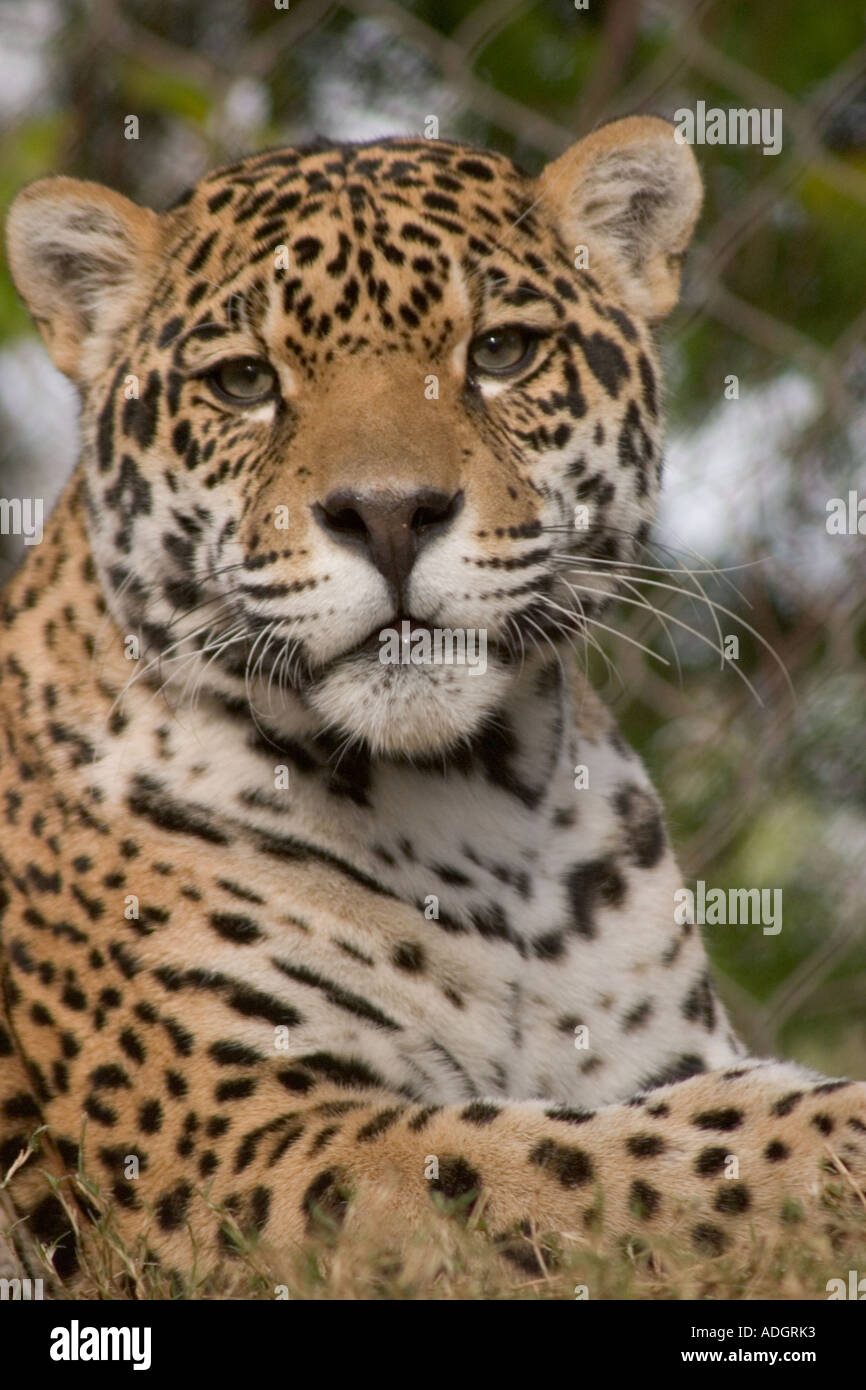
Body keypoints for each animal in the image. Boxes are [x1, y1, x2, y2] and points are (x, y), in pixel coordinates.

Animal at [1, 115, 864, 1294]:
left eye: (500, 353)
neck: (485, 809)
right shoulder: (236, 1151)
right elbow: (616, 1161)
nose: (388, 514)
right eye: (242, 380)